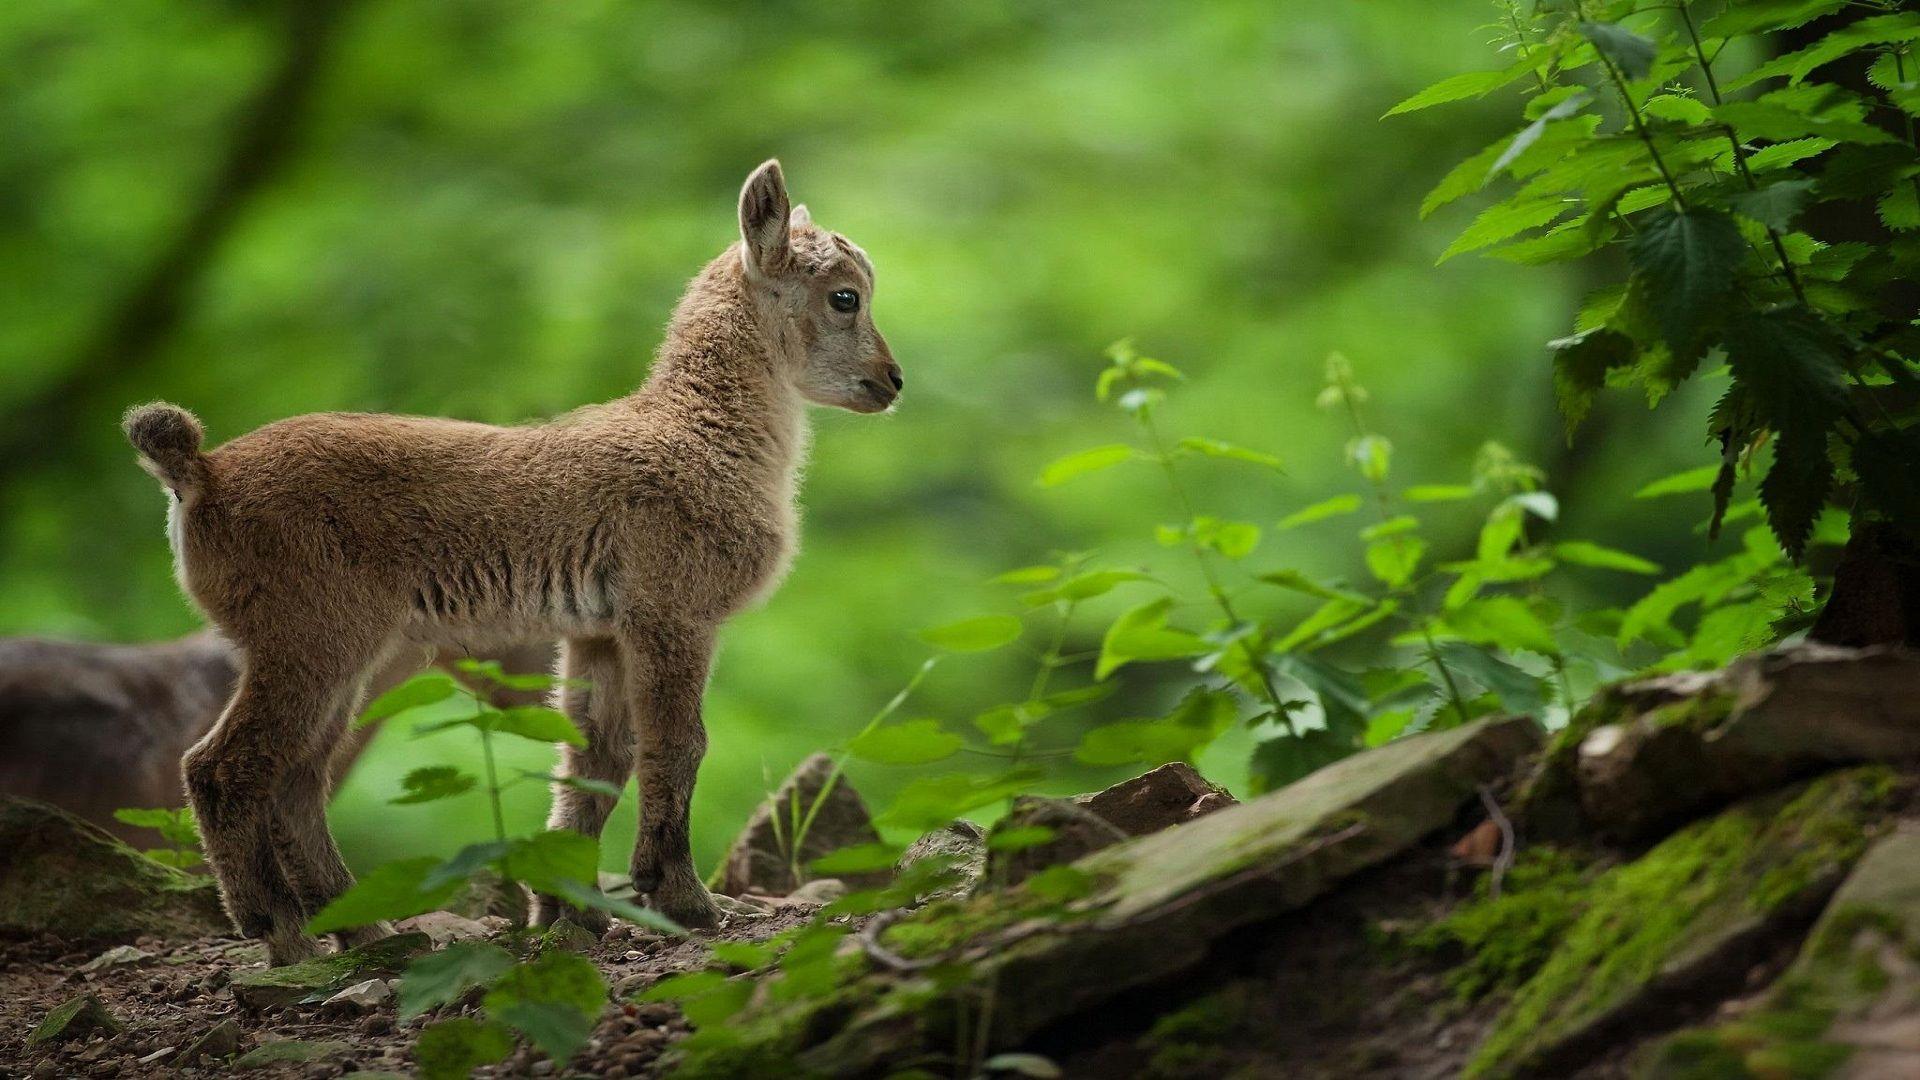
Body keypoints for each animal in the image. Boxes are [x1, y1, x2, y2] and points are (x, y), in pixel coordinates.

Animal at [122, 161, 900, 964]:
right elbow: (677, 746)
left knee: (298, 780)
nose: (891, 381)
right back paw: (281, 934)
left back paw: (368, 931)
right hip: (308, 637)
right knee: (224, 769)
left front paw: (571, 911)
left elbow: (596, 760)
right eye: (845, 296)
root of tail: (199, 475)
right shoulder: (673, 611)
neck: (701, 435)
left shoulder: (597, 630)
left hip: (341, 651)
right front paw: (686, 901)